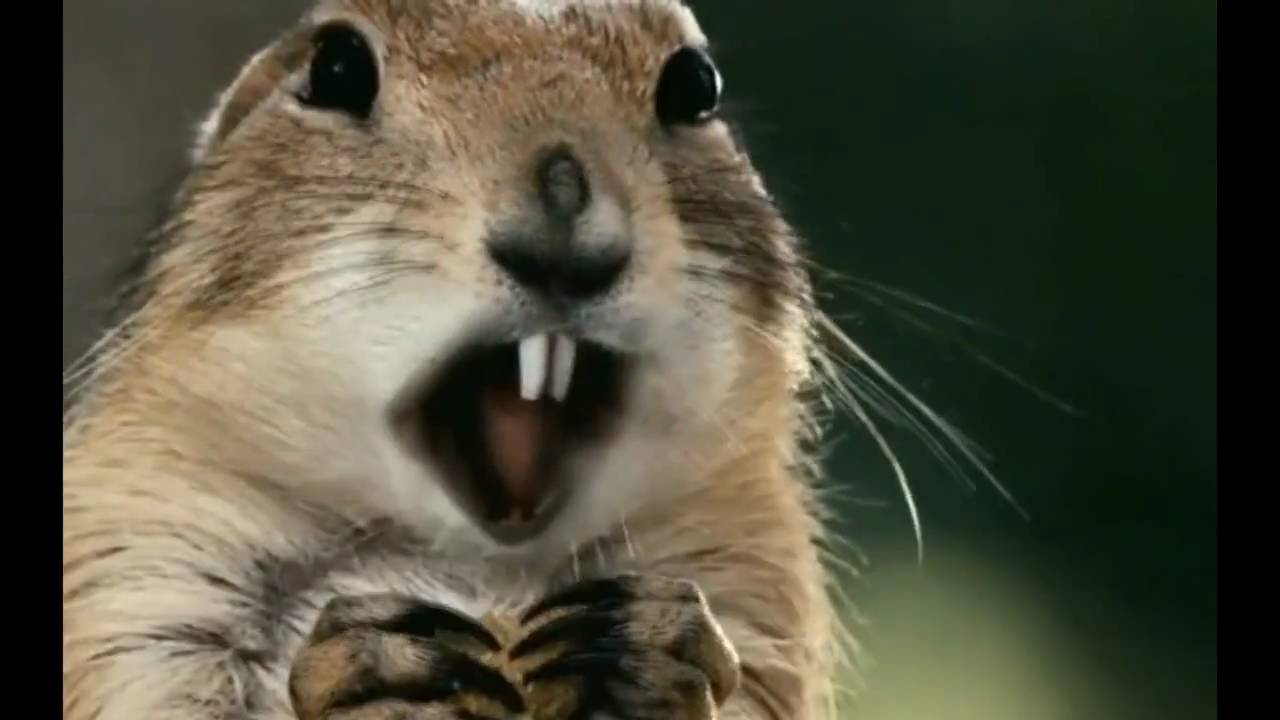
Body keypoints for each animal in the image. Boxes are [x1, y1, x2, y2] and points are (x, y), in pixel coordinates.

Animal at [63, 1, 856, 718]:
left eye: (696, 84)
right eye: (336, 67)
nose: (562, 200)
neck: (484, 569)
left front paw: (629, 650)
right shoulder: (144, 577)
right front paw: (390, 669)